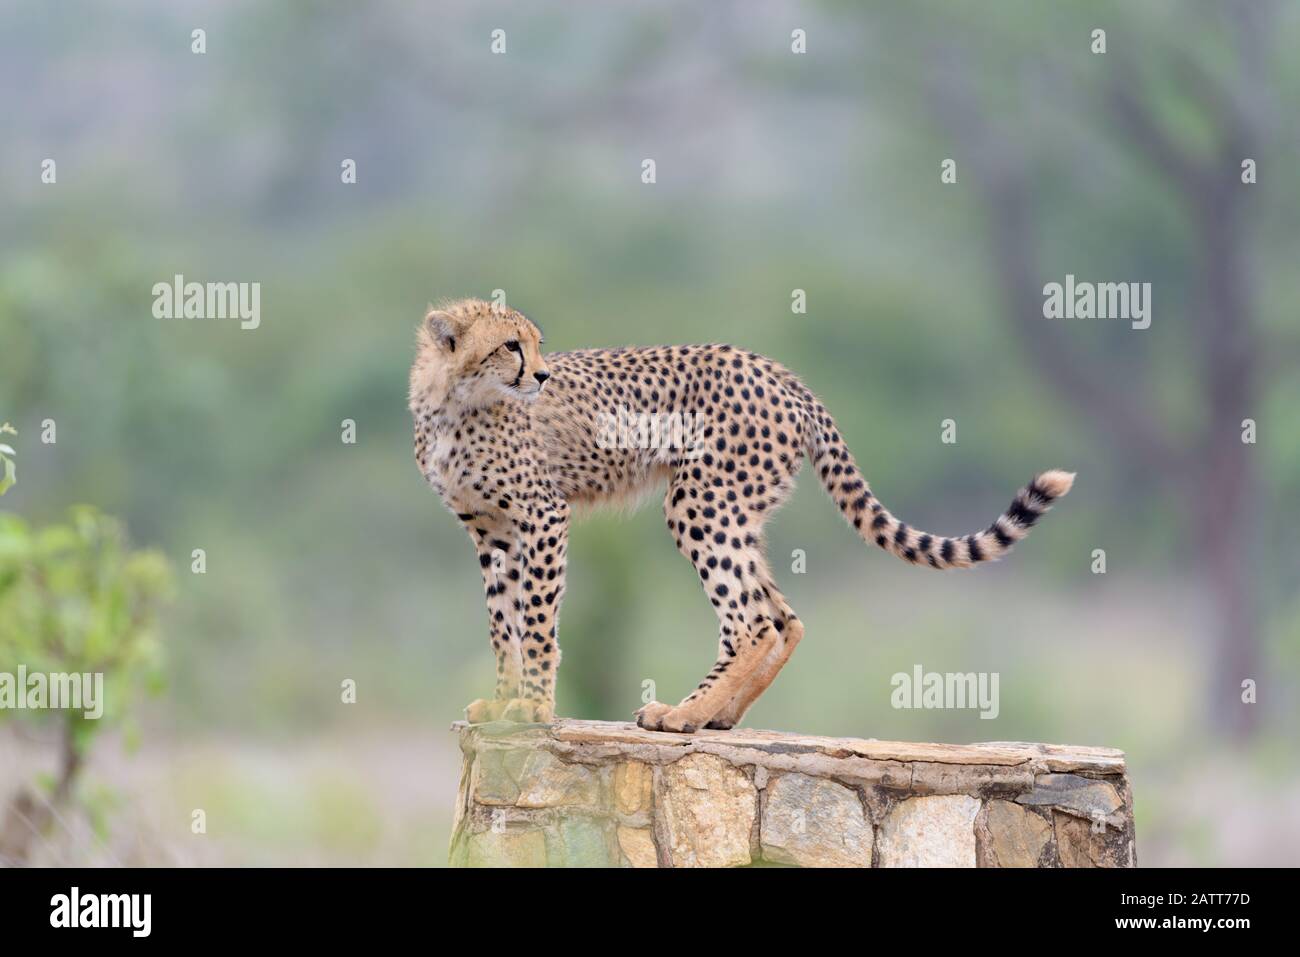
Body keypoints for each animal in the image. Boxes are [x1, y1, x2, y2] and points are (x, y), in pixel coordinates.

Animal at [409, 298, 1074, 733]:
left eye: (536, 344)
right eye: (510, 345)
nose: (543, 376)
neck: (455, 402)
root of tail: (780, 372)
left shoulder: (542, 516)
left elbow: (537, 623)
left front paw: (531, 709)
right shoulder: (490, 532)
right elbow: (502, 625)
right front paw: (501, 702)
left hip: (699, 502)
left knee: (753, 622)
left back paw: (685, 713)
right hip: (734, 510)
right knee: (783, 618)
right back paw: (717, 713)